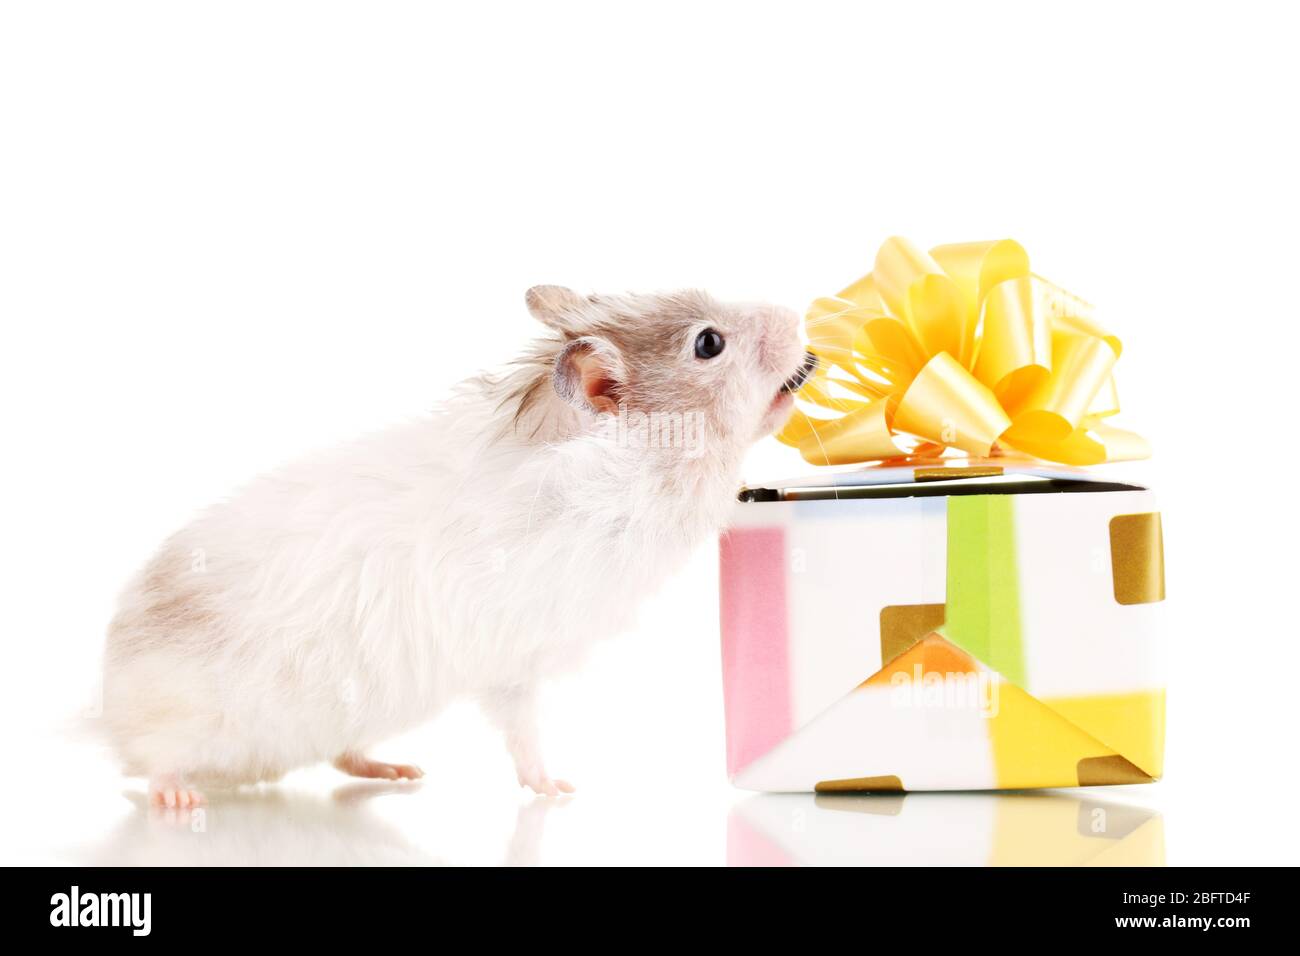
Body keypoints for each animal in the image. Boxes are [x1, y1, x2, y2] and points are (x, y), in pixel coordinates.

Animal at [101, 285, 812, 807]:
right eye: (708, 343)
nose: (797, 312)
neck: (629, 473)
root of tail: (108, 705)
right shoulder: (515, 652)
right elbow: (522, 726)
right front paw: (557, 790)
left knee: (342, 755)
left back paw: (396, 771)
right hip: (185, 722)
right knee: (154, 764)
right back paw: (178, 800)